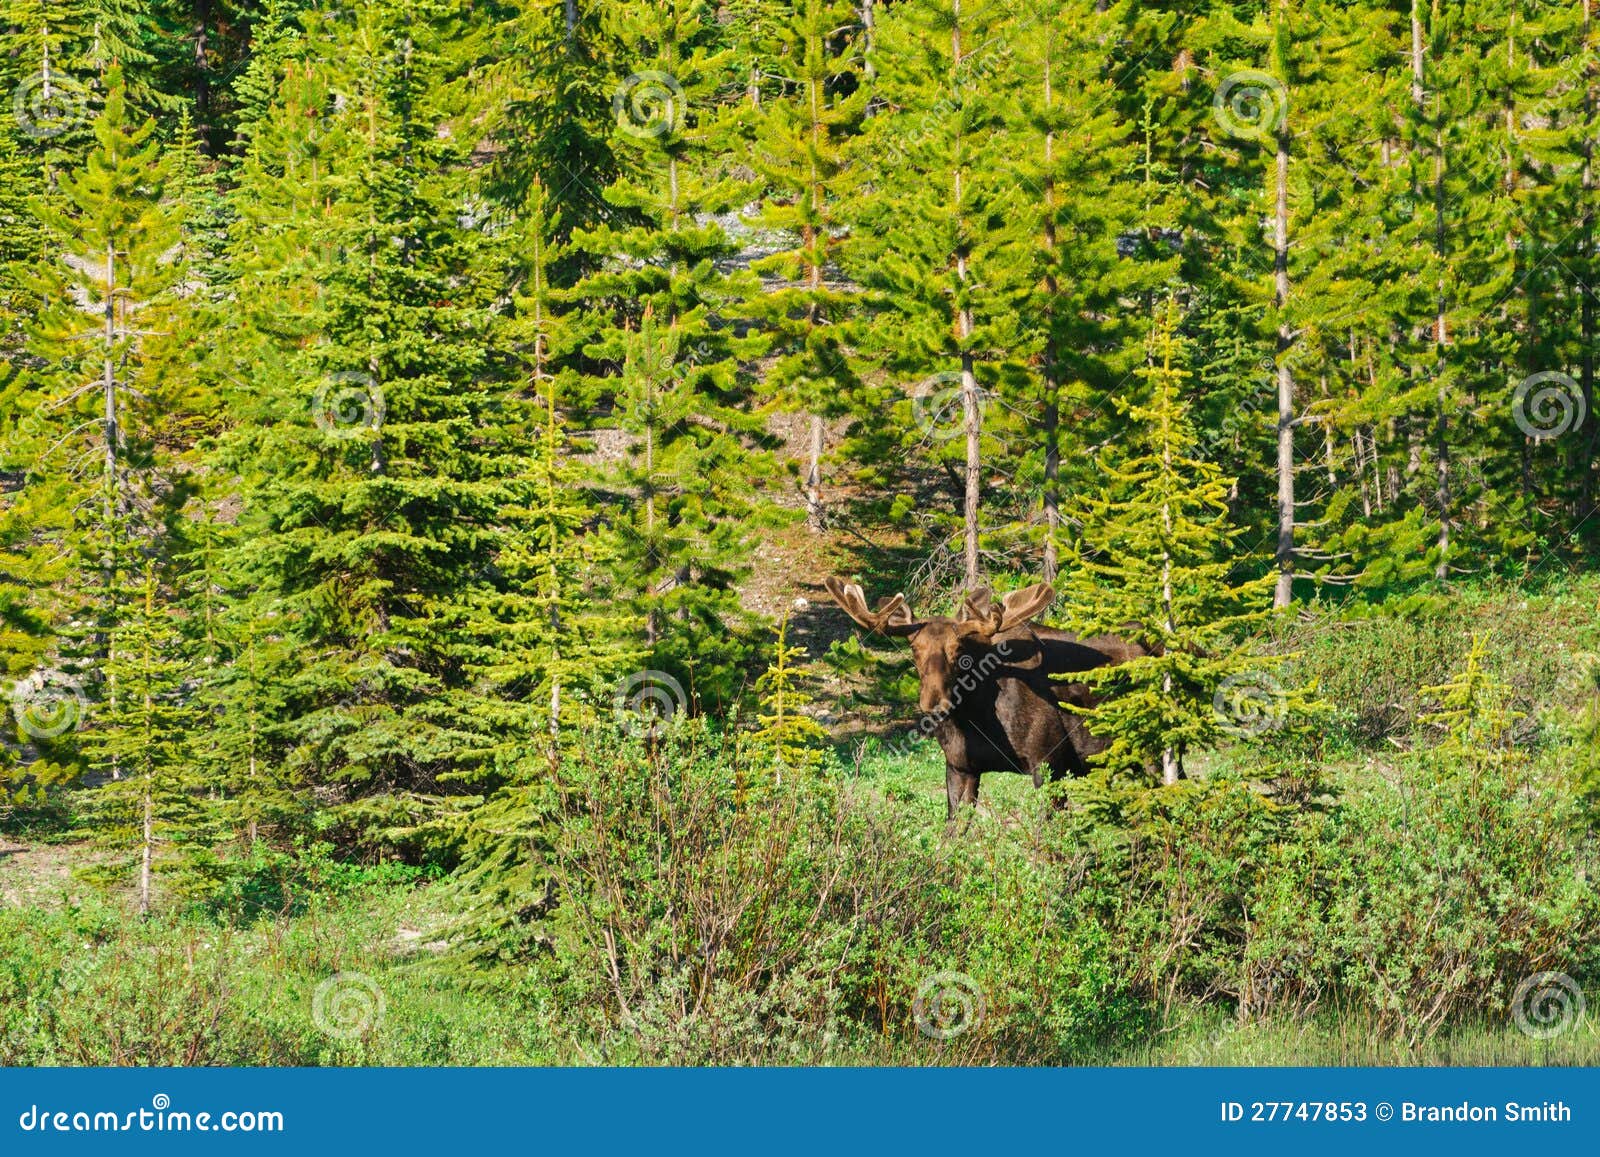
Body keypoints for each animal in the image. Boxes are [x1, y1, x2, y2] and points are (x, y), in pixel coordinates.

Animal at [823, 576, 1148, 819]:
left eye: (957, 651)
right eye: (915, 649)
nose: (934, 702)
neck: (975, 720)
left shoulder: (1050, 762)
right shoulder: (960, 766)